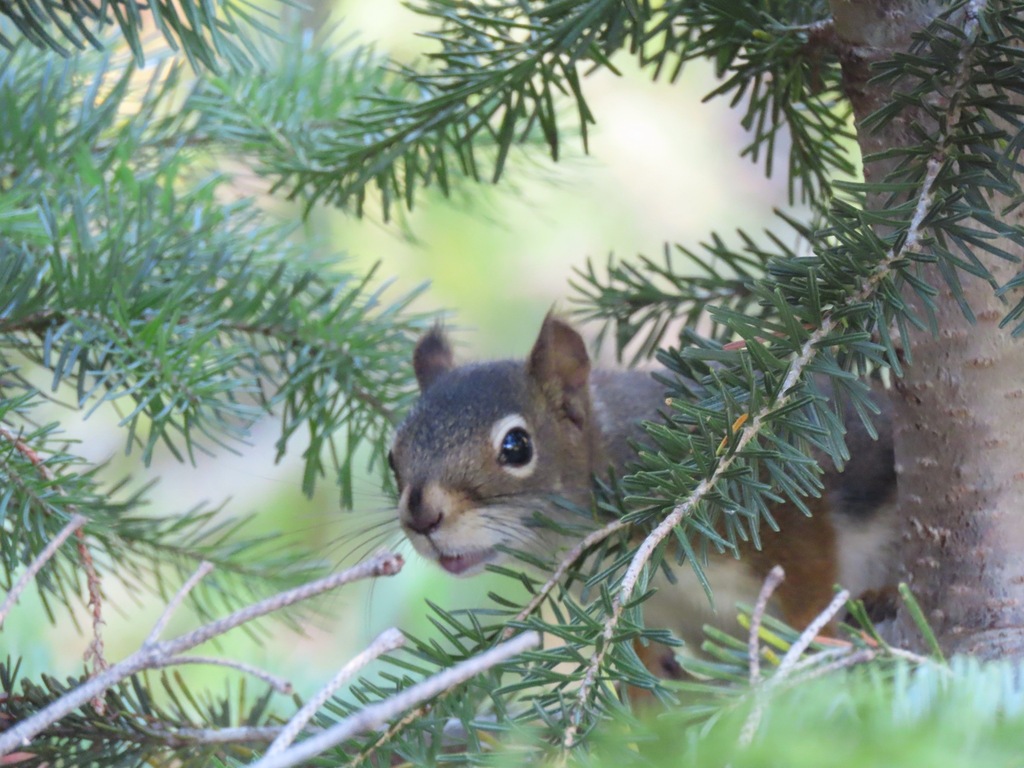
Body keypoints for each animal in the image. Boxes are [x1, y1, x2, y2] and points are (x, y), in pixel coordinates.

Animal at [388, 313, 898, 679]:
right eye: (392, 456)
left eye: (516, 447)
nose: (422, 517)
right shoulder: (635, 604)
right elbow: (645, 663)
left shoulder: (782, 512)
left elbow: (810, 584)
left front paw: (817, 640)